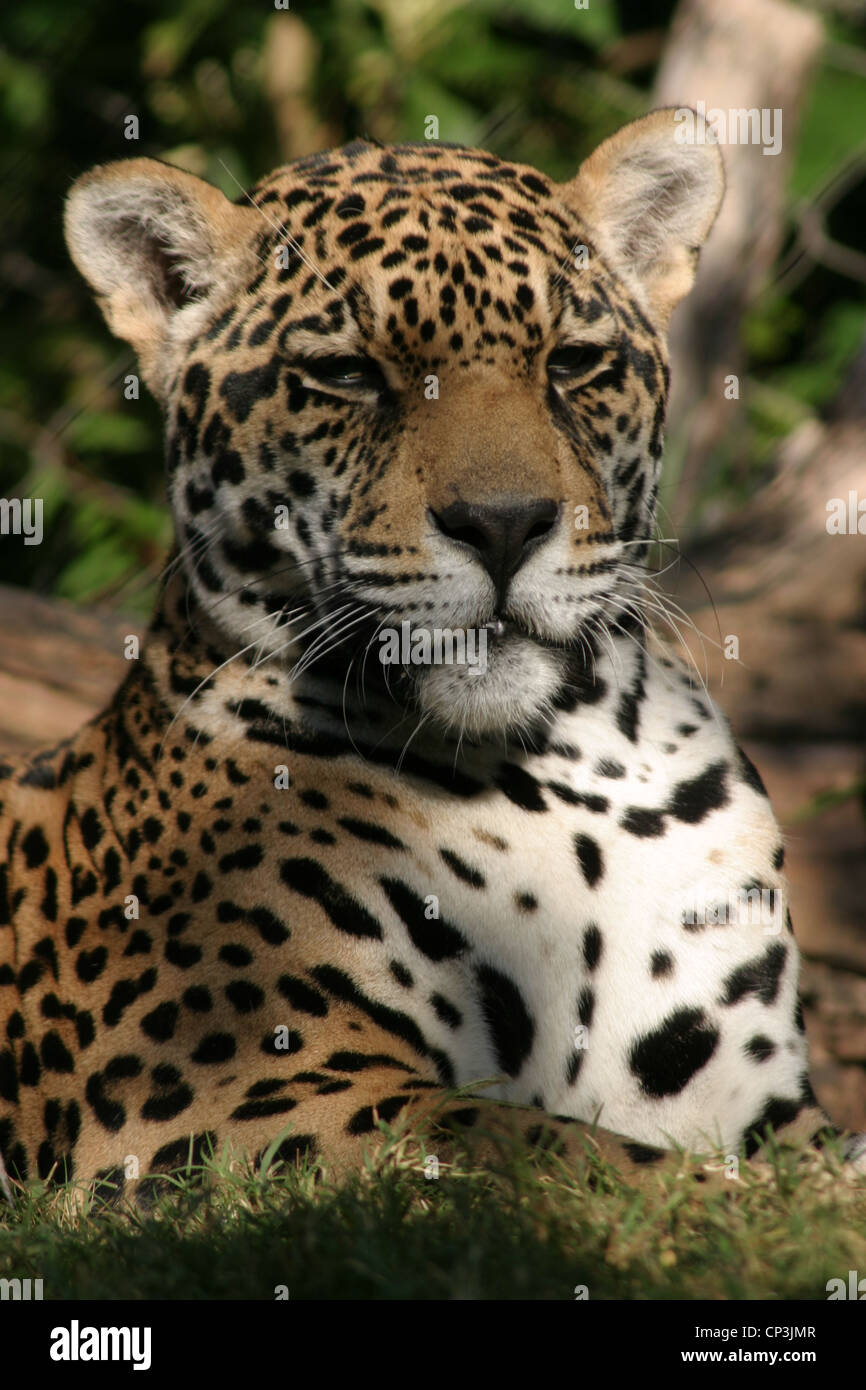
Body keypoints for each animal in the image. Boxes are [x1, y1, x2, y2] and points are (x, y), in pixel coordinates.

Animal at [2, 108, 864, 1201]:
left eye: (571, 364)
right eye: (346, 376)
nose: (503, 524)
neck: (578, 768)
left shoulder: (760, 1103)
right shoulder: (231, 1099)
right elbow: (577, 1157)